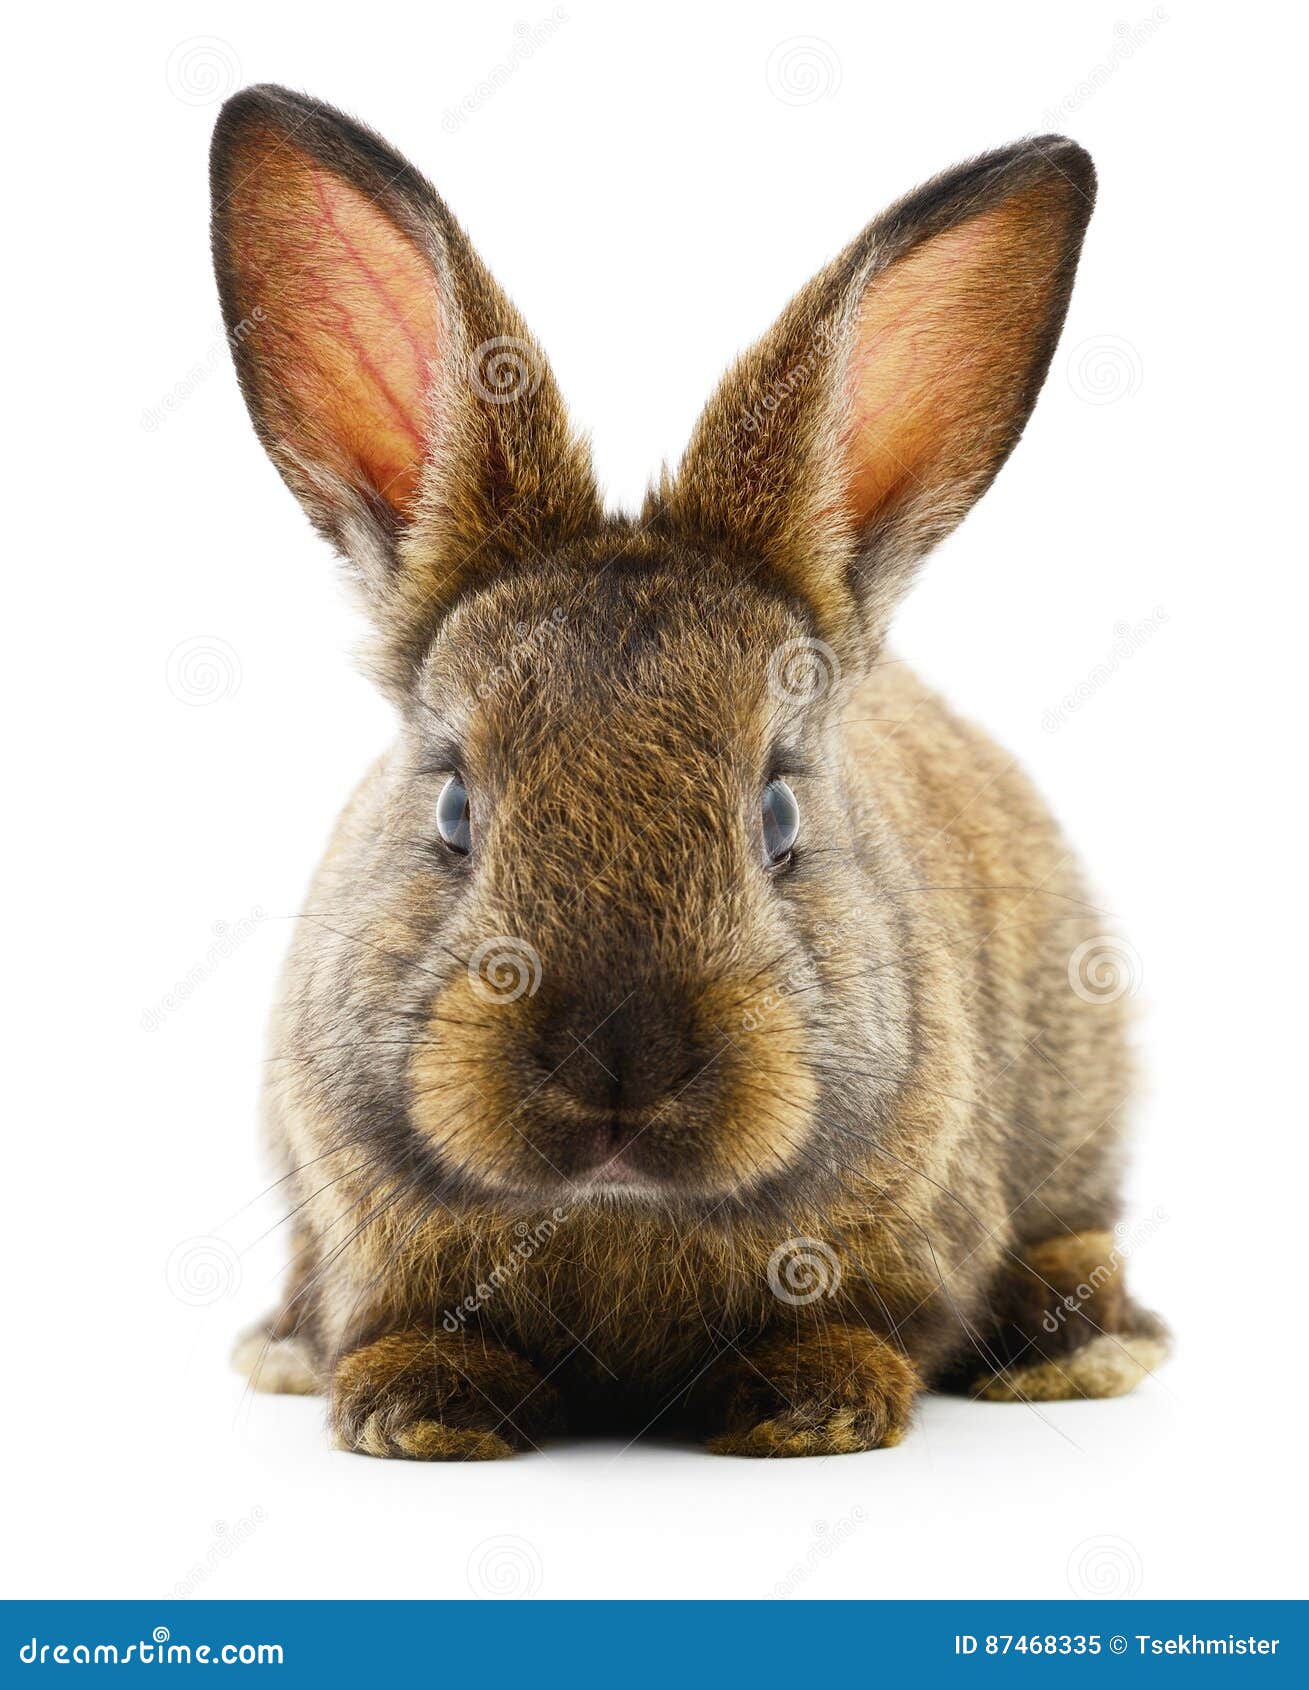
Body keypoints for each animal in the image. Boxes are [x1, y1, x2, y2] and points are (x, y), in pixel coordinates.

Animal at [214, 85, 1167, 1459]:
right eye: (452, 804)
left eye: (777, 809)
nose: (619, 1061)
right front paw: (419, 1408)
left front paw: (812, 1403)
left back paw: (1071, 1347)